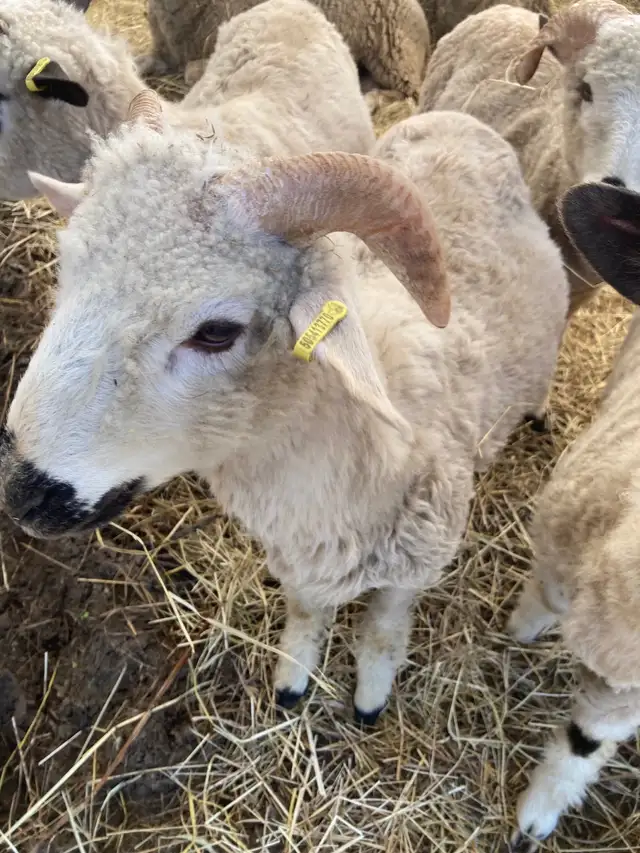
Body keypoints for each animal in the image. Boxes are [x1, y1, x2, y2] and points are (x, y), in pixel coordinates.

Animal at [0, 93, 569, 723]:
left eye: (217, 332)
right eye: (65, 269)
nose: (22, 491)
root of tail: (460, 119)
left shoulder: (418, 562)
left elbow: (383, 629)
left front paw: (371, 695)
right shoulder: (297, 560)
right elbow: (304, 613)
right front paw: (294, 676)